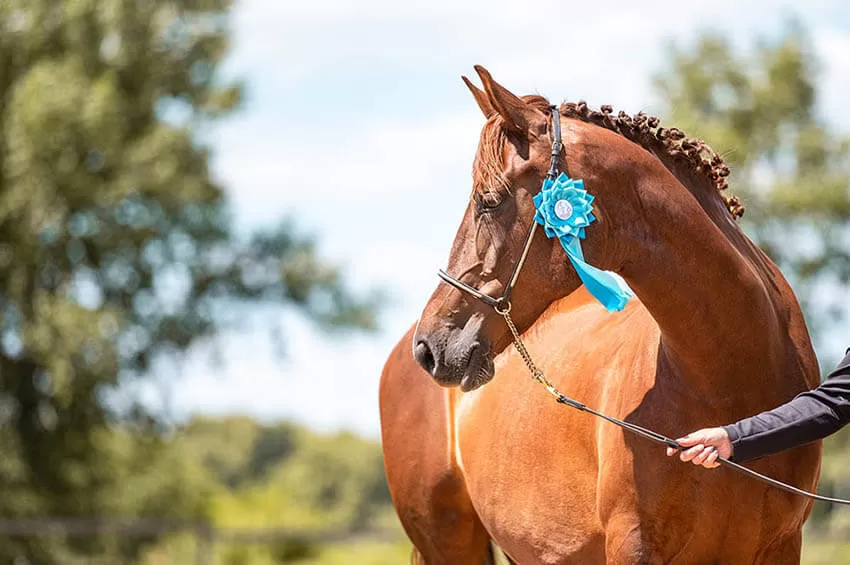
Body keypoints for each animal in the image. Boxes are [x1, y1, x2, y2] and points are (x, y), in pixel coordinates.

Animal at [380, 67, 820, 564]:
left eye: (488, 200)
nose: (429, 347)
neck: (729, 387)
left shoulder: (782, 547)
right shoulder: (633, 546)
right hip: (448, 542)